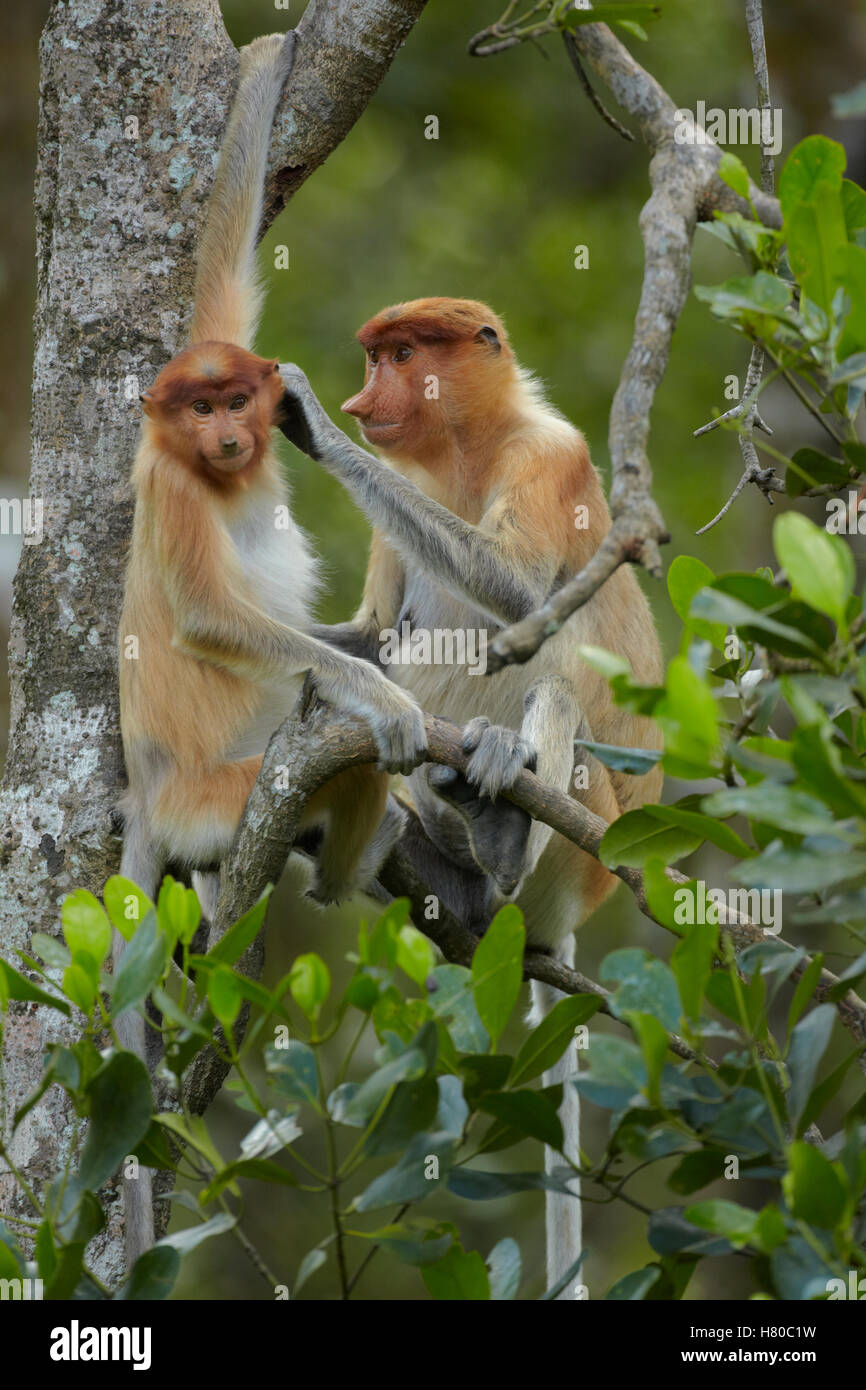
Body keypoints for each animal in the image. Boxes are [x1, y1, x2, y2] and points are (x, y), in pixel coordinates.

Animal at [114, 37, 427, 1267]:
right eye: (194, 412)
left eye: (232, 397)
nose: (228, 436)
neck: (218, 480)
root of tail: (152, 792)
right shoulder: (166, 486)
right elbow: (207, 617)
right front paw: (378, 693)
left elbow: (226, 265)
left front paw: (263, 60)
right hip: (218, 796)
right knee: (328, 760)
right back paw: (347, 848)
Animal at [277, 297, 664, 1297]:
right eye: (376, 356)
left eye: (404, 354)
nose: (360, 400)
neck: (464, 452)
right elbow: (374, 638)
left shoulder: (550, 459)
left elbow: (522, 596)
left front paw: (312, 425)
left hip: (587, 849)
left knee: (556, 675)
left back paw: (496, 822)